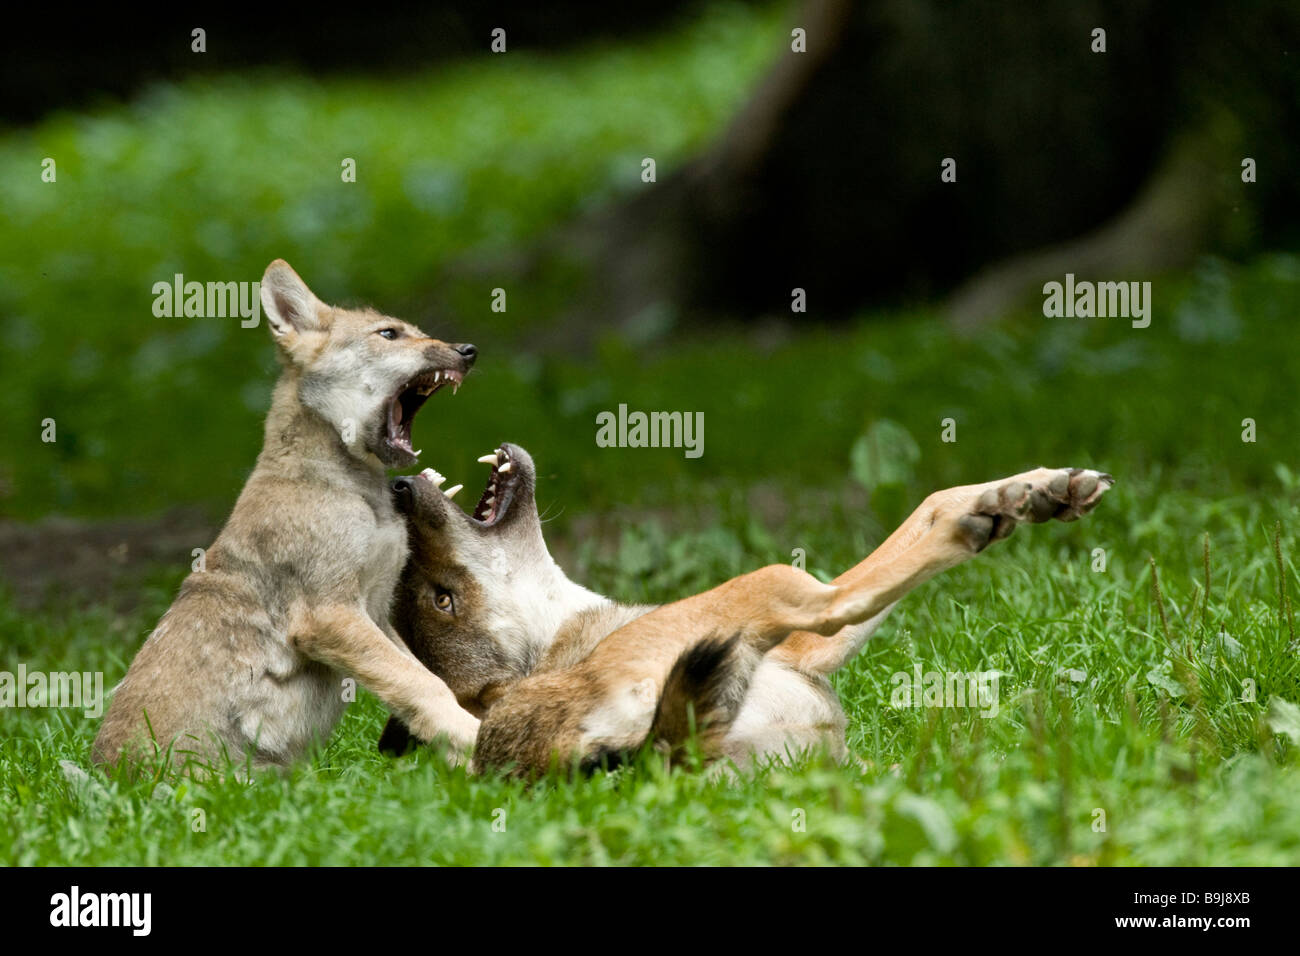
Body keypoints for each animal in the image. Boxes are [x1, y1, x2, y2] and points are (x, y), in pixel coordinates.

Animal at [93, 260, 481, 773]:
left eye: (416, 331)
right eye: (389, 334)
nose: (468, 351)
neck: (354, 490)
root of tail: (104, 774)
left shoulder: (375, 611)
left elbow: (420, 685)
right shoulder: (332, 614)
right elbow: (424, 685)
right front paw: (480, 743)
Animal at [378, 443, 1113, 777]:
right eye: (441, 598)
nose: (399, 489)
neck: (566, 638)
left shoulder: (804, 653)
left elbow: (926, 505)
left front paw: (1038, 489)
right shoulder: (791, 624)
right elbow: (896, 547)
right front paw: (1009, 503)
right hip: (764, 587)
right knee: (831, 590)